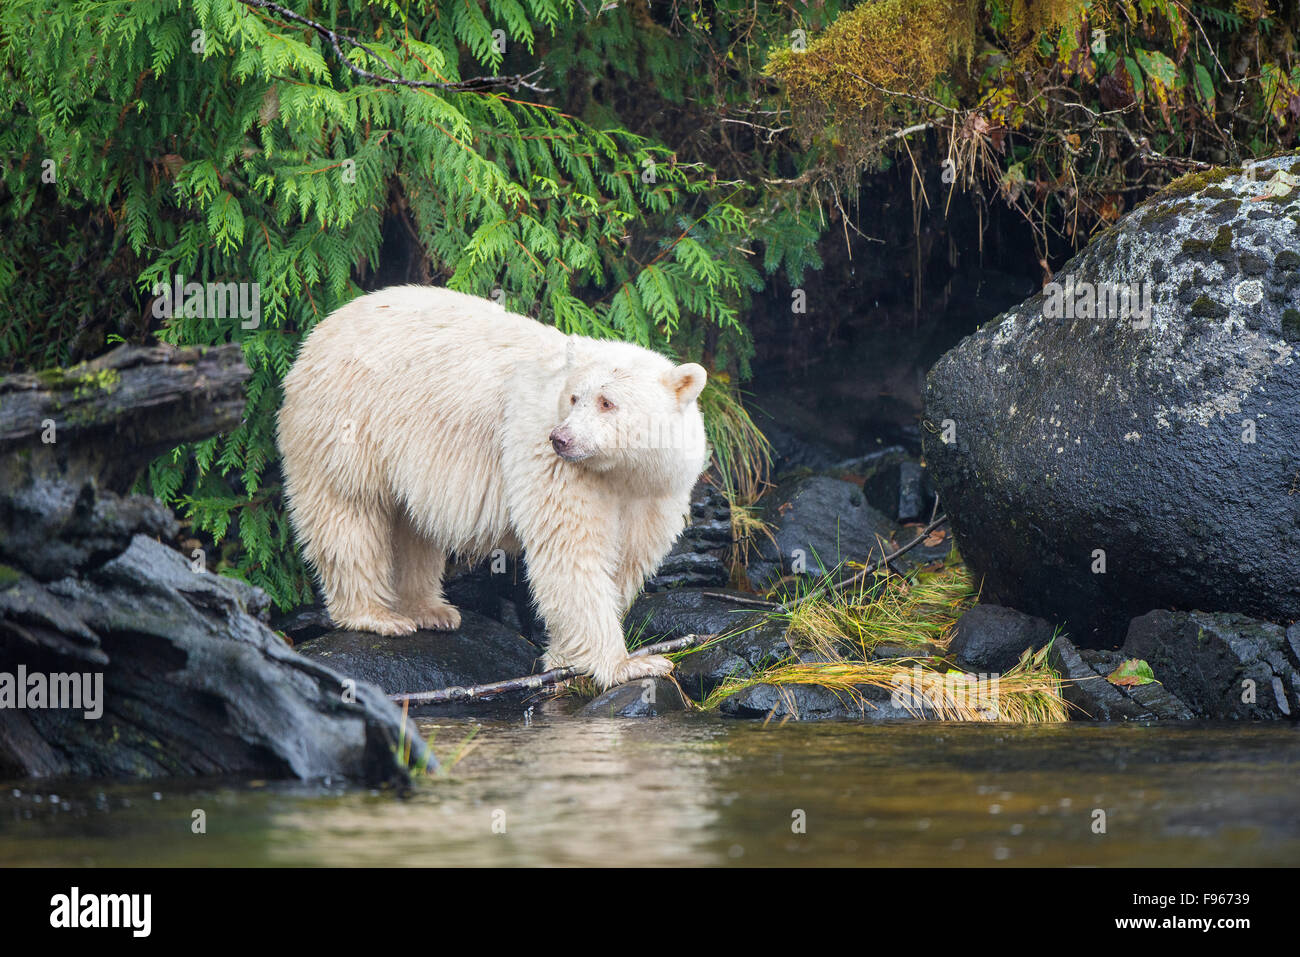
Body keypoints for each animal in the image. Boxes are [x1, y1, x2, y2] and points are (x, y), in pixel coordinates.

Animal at [277, 285, 710, 688]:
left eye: (607, 402)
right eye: (573, 397)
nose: (562, 438)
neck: (620, 470)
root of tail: (322, 330)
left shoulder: (653, 490)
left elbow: (627, 557)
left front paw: (564, 656)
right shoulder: (554, 464)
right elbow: (571, 551)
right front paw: (627, 665)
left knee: (411, 525)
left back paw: (430, 609)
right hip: (348, 418)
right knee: (349, 511)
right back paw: (377, 615)